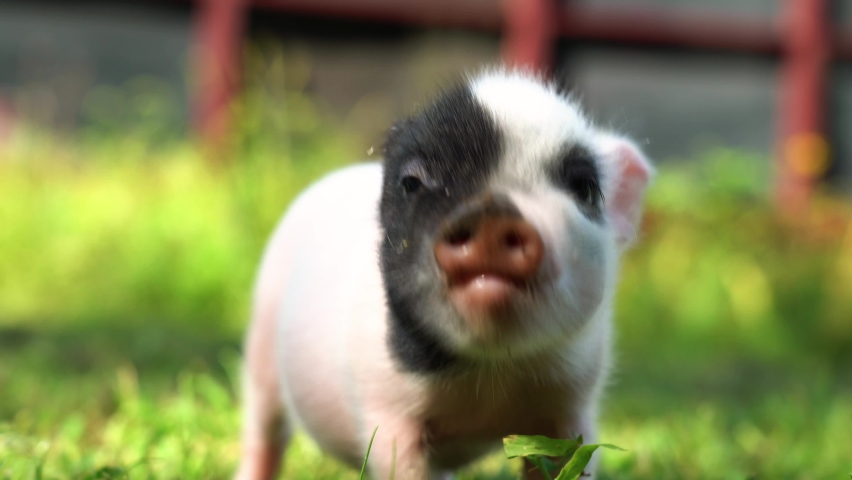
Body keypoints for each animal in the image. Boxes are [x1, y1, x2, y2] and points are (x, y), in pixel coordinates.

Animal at [234, 69, 653, 480]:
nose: (491, 213)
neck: (492, 374)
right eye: (412, 182)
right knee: (263, 428)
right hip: (261, 340)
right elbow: (399, 464)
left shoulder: (572, 402)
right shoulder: (386, 405)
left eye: (584, 187)